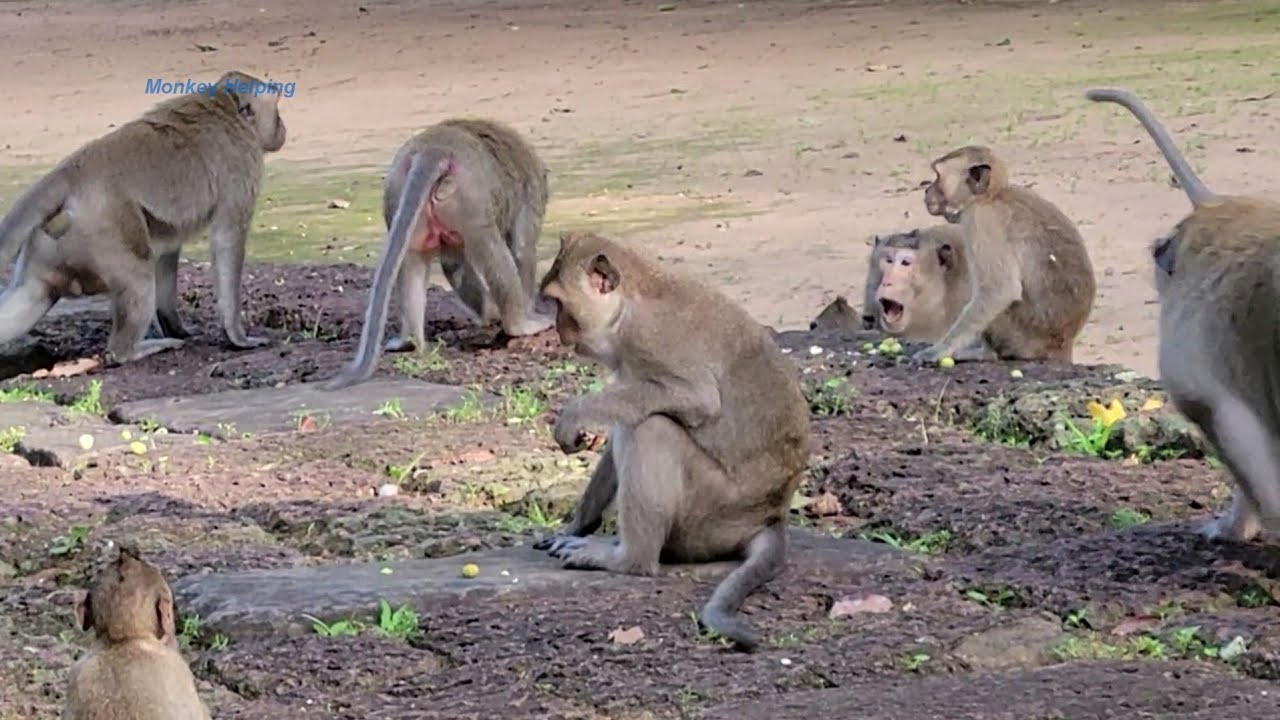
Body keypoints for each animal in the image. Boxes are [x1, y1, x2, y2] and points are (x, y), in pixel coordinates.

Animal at [0, 70, 286, 365]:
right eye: (276, 109)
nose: (282, 128)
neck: (224, 106)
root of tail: (69, 174)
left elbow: (168, 249)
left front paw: (176, 325)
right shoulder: (241, 166)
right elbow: (227, 241)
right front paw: (238, 337)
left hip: (48, 244)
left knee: (31, 297)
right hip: (107, 229)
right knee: (138, 276)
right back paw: (133, 349)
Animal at [322, 119, 554, 390]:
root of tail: (433, 147)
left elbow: (453, 262)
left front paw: (489, 313)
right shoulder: (530, 195)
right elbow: (521, 249)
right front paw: (524, 310)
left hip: (399, 190)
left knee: (412, 260)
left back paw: (410, 340)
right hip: (468, 198)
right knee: (492, 248)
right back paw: (520, 325)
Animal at [532, 230, 812, 651]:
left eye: (558, 303)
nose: (560, 333)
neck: (631, 304)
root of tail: (770, 516)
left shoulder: (648, 339)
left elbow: (697, 399)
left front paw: (575, 414)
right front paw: (575, 526)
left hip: (711, 516)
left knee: (653, 429)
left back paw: (629, 561)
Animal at [914, 145, 1096, 364]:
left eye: (938, 177)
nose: (926, 190)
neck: (991, 196)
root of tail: (1062, 344)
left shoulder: (981, 220)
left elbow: (1000, 290)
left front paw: (938, 350)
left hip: (1019, 336)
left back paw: (986, 354)